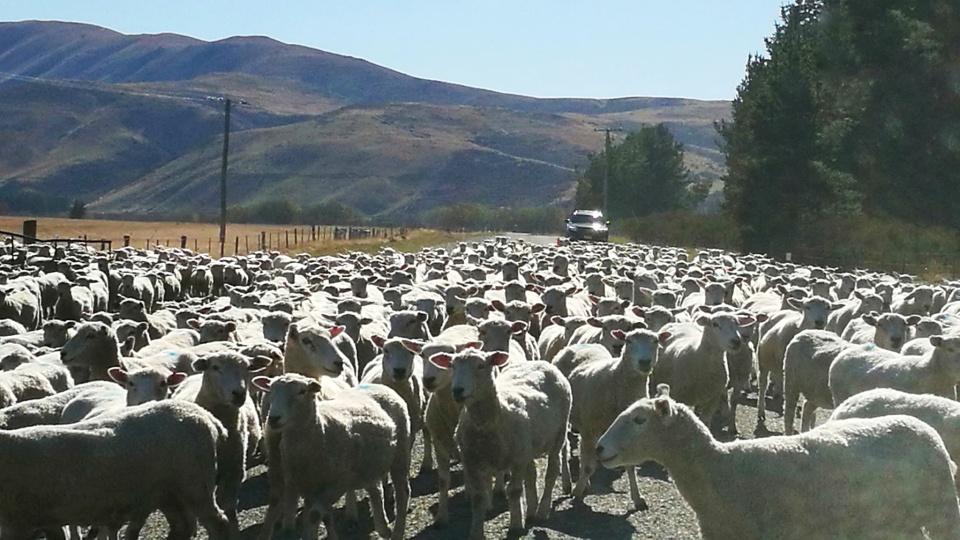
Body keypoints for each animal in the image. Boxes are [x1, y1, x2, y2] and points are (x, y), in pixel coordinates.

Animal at [0, 400, 234, 539]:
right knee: (182, 527)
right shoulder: (46, 519)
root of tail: (209, 418)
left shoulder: (17, 522)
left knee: (218, 524)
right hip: (168, 493)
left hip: (194, 484)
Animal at [253, 374, 411, 540]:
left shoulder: (337, 484)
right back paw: (383, 528)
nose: (273, 418)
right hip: (367, 466)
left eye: (302, 391)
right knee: (375, 489)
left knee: (403, 493)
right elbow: (323, 515)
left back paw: (396, 532)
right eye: (270, 390)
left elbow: (314, 515)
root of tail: (380, 386)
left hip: (400, 453)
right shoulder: (308, 486)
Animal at [428, 350, 571, 539]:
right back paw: (531, 512)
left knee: (552, 471)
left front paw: (515, 526)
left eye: (481, 366)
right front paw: (476, 531)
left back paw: (542, 511)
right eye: (452, 366)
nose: (457, 390)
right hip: (527, 446)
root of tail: (542, 363)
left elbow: (514, 491)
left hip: (558, 435)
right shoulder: (472, 462)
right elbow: (478, 498)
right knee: (532, 474)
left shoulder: (517, 460)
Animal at [567, 328, 669, 510]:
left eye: (656, 341)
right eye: (628, 341)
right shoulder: (591, 430)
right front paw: (577, 494)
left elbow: (630, 466)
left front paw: (638, 498)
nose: (645, 362)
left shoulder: (628, 435)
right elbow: (587, 467)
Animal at [596, 384, 960, 539]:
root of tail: (925, 430)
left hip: (941, 510)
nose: (599, 448)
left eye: (640, 420)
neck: (719, 469)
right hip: (895, 521)